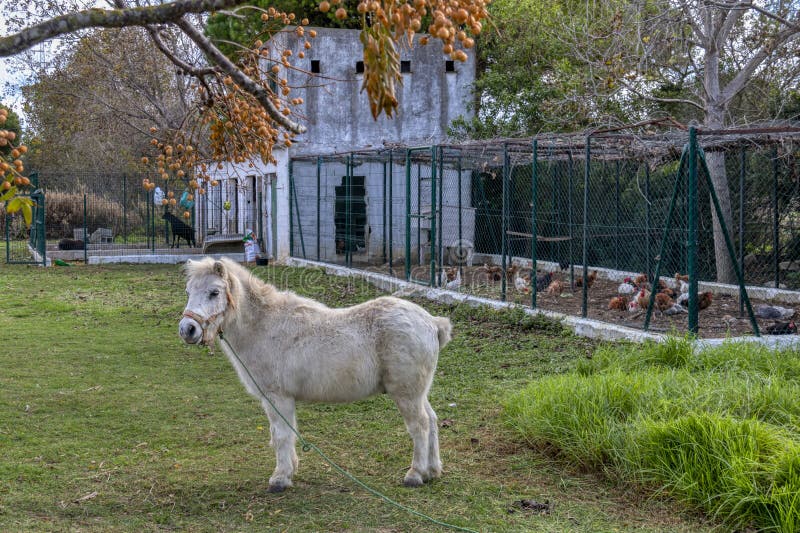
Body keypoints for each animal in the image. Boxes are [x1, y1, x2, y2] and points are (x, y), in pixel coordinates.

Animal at [178, 257, 452, 492]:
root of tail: (432, 322)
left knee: (419, 425)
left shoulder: (277, 398)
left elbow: (281, 435)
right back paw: (432, 471)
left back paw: (415, 474)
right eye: (188, 291)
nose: (187, 329)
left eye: (214, 292)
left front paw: (280, 478)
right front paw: (290, 469)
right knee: (432, 420)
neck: (264, 326)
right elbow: (285, 433)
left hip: (406, 394)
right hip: (418, 393)